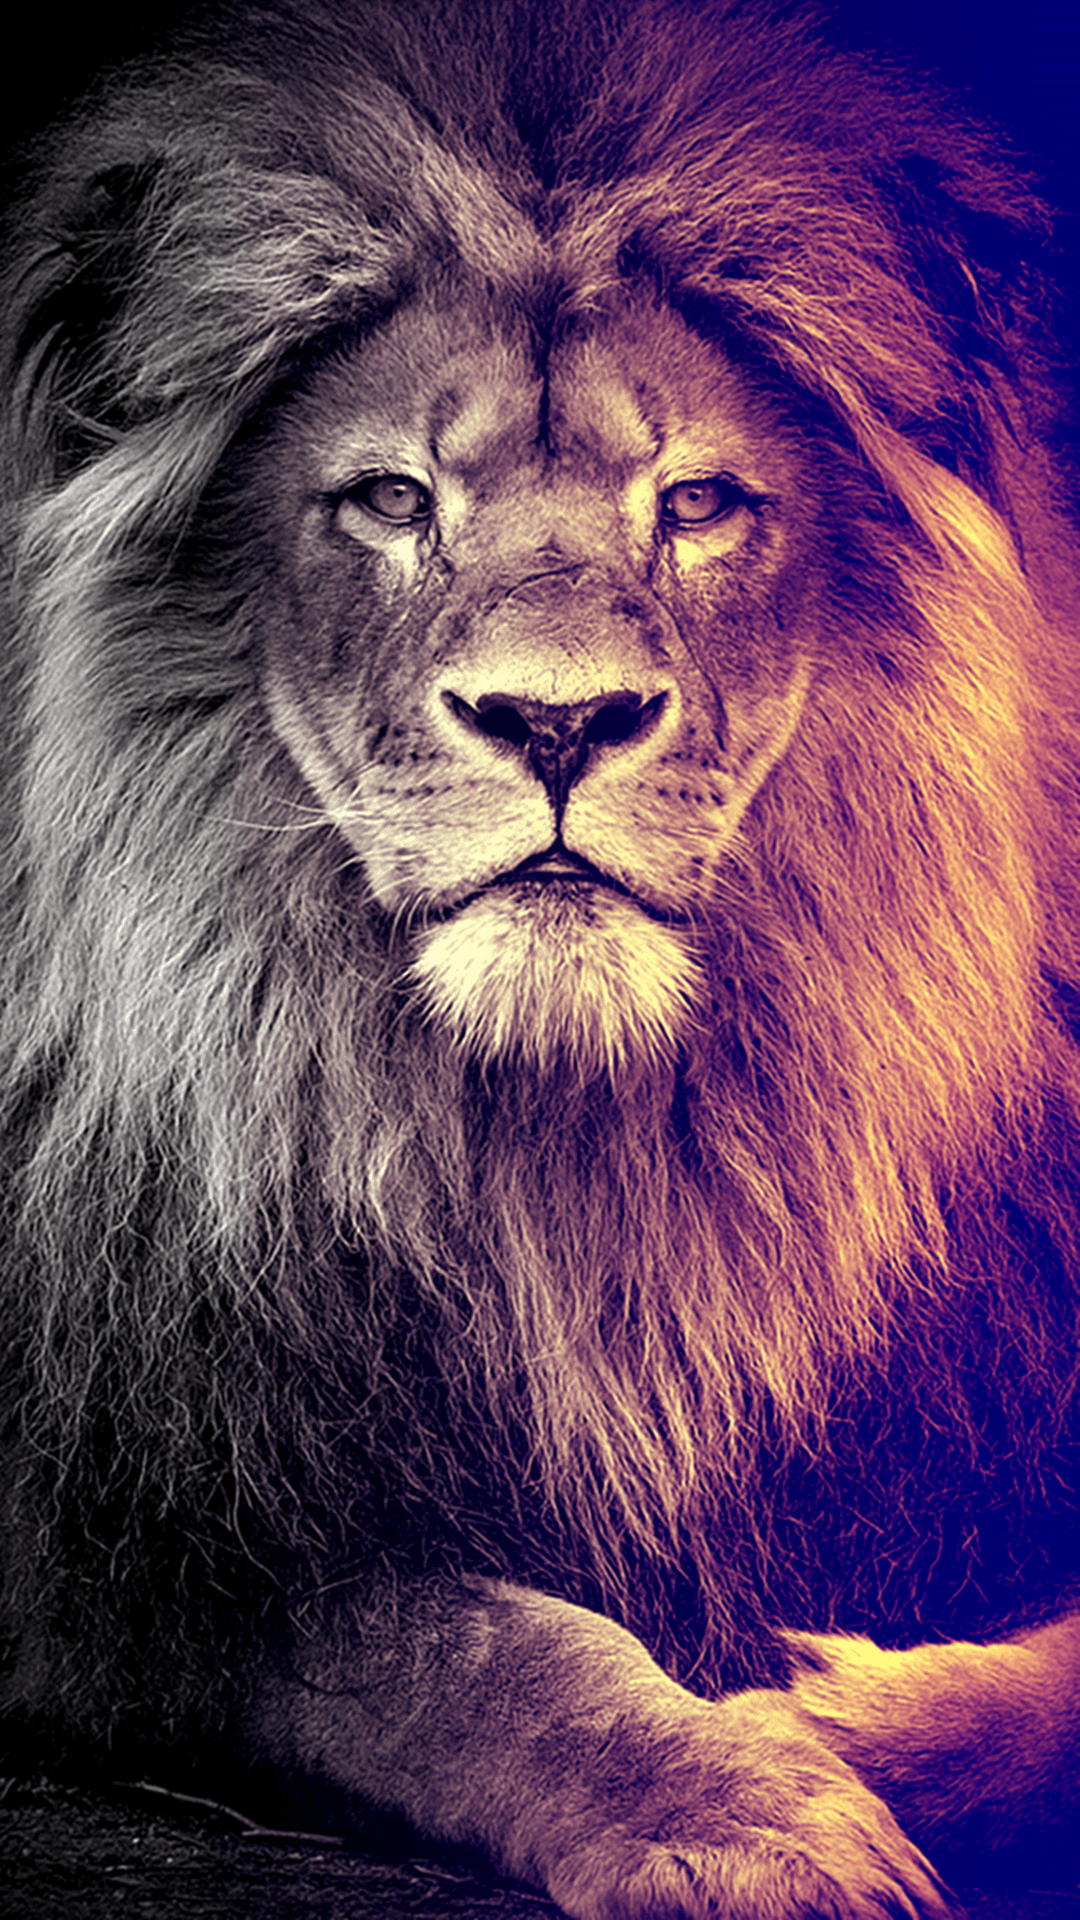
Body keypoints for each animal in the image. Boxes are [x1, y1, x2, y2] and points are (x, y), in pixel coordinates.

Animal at [2, 0, 1080, 1913]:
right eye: (387, 500)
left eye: (702, 503)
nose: (557, 719)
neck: (560, 1155)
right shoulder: (141, 1537)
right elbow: (458, 1641)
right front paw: (742, 1805)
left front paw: (846, 1719)